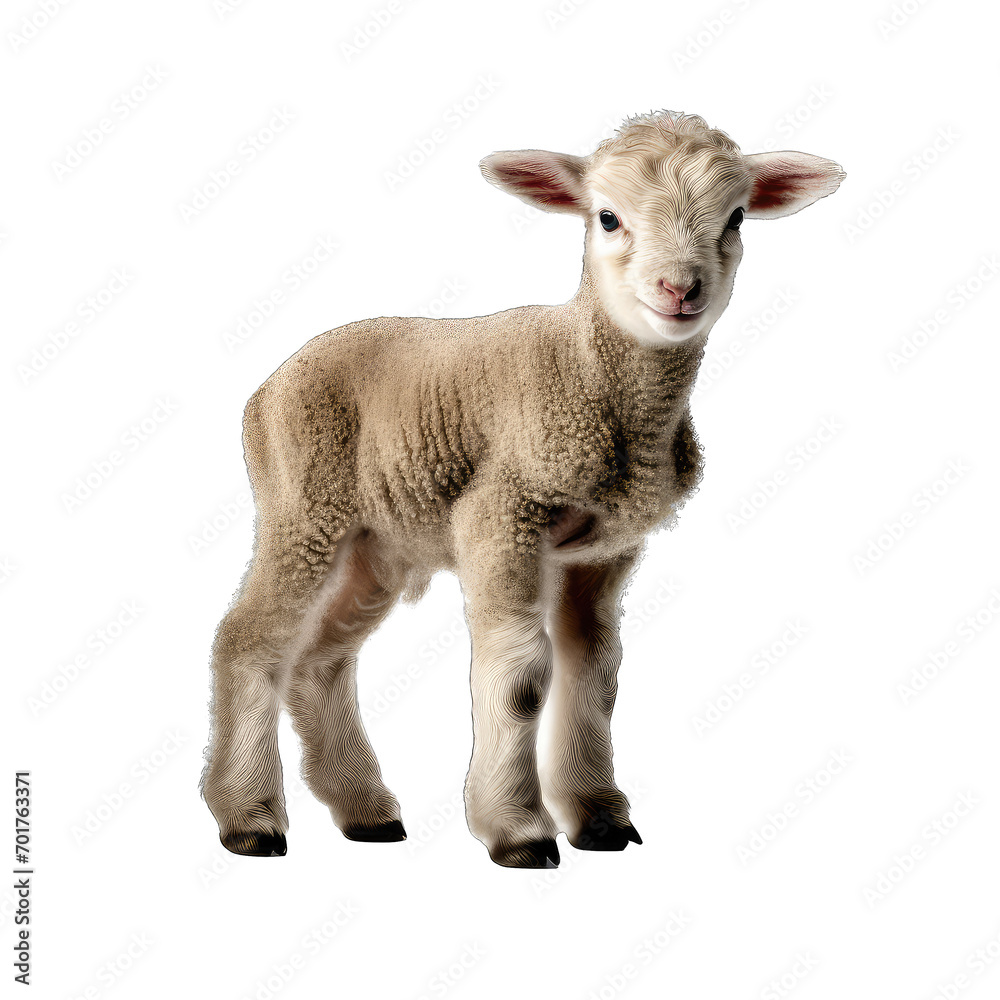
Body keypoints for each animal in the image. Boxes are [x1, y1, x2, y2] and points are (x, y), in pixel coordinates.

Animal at [201, 110, 845, 868]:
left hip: (375, 542)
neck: (589, 369)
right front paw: (518, 829)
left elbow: (595, 672)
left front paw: (600, 819)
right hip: (303, 503)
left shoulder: (603, 550)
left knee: (320, 657)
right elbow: (521, 677)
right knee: (249, 637)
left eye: (737, 217)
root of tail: (269, 383)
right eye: (607, 217)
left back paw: (366, 811)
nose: (678, 289)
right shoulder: (502, 514)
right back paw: (249, 818)